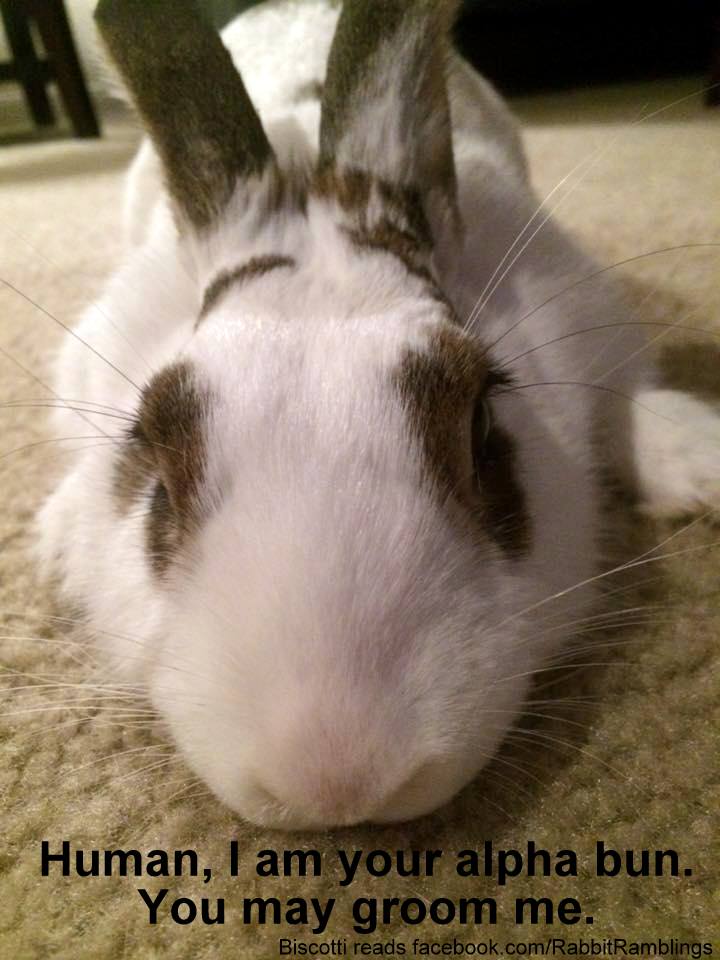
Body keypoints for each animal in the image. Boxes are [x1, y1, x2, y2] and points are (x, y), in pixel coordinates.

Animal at [35, 0, 720, 829]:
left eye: (481, 430)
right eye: (157, 479)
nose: (337, 779)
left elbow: (627, 406)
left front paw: (703, 463)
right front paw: (60, 535)